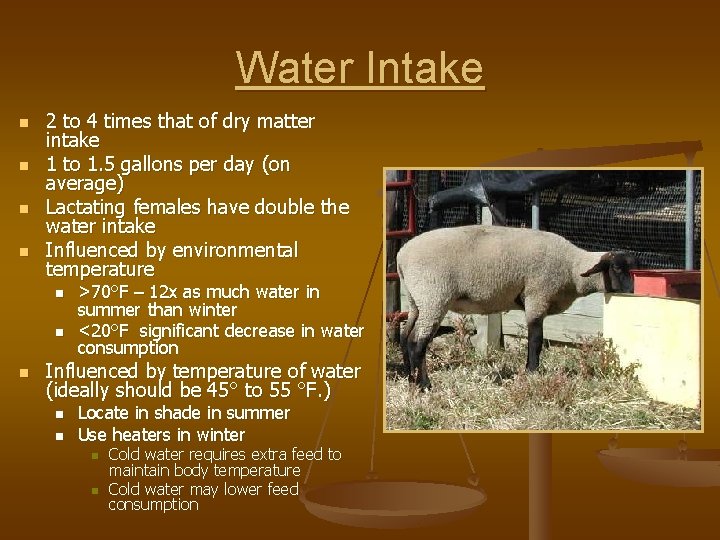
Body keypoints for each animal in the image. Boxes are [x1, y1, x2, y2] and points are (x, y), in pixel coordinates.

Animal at [396, 225, 636, 389]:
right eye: (616, 268)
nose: (632, 292)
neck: (571, 268)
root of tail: (401, 255)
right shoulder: (537, 296)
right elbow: (536, 340)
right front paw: (532, 372)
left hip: (417, 300)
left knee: (405, 337)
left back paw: (410, 379)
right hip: (433, 297)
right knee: (418, 342)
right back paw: (425, 385)